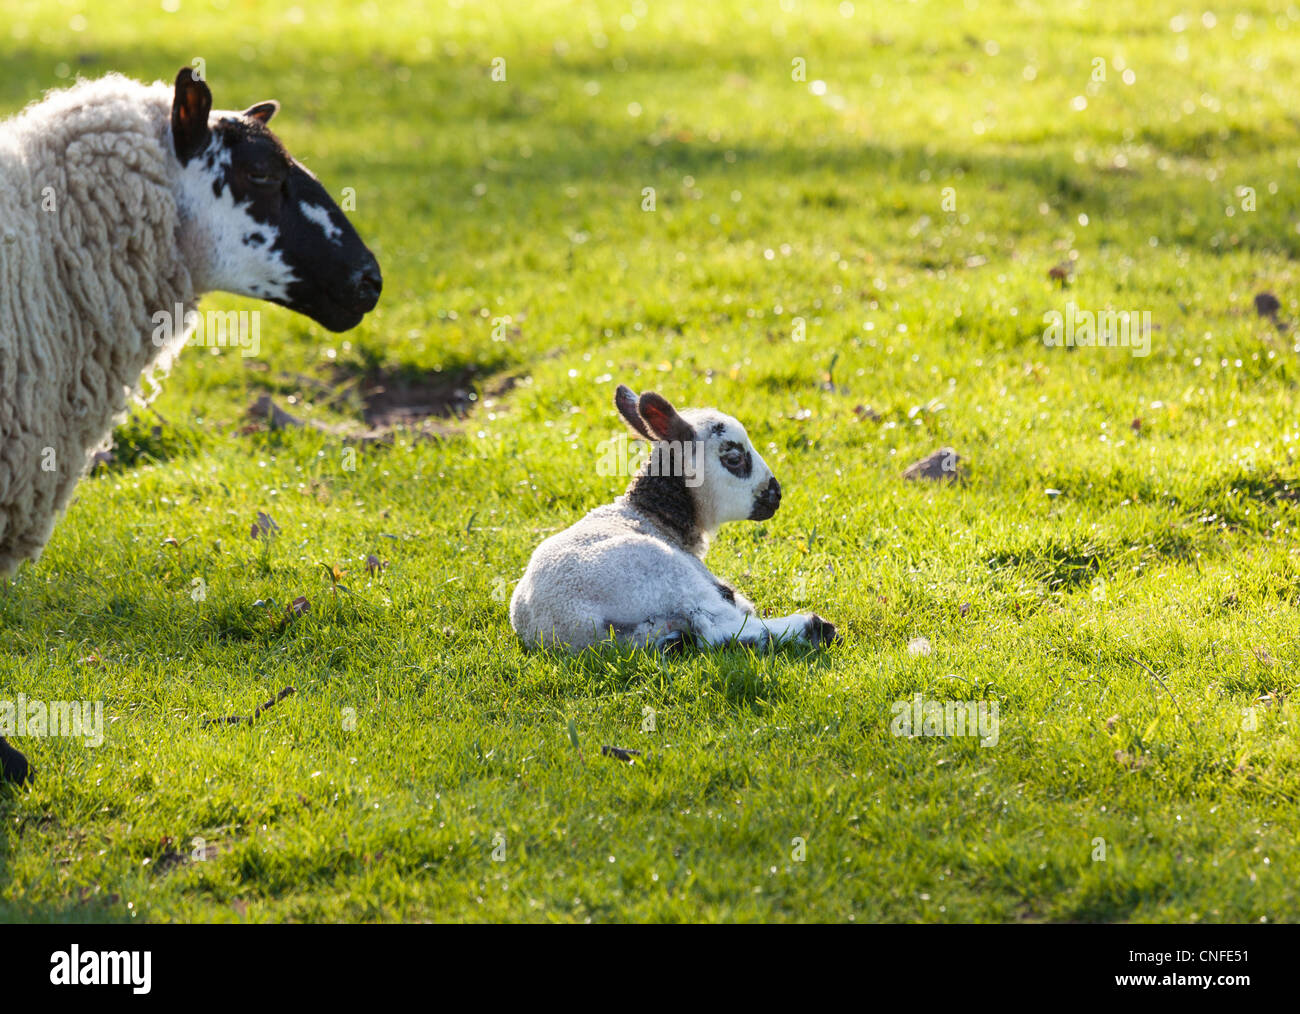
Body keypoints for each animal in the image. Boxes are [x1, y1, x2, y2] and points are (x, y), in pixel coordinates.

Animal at [509, 384, 840, 652]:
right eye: (733, 459)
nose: (776, 495)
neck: (651, 515)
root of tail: (569, 626)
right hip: (662, 577)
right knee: (720, 628)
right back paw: (815, 628)